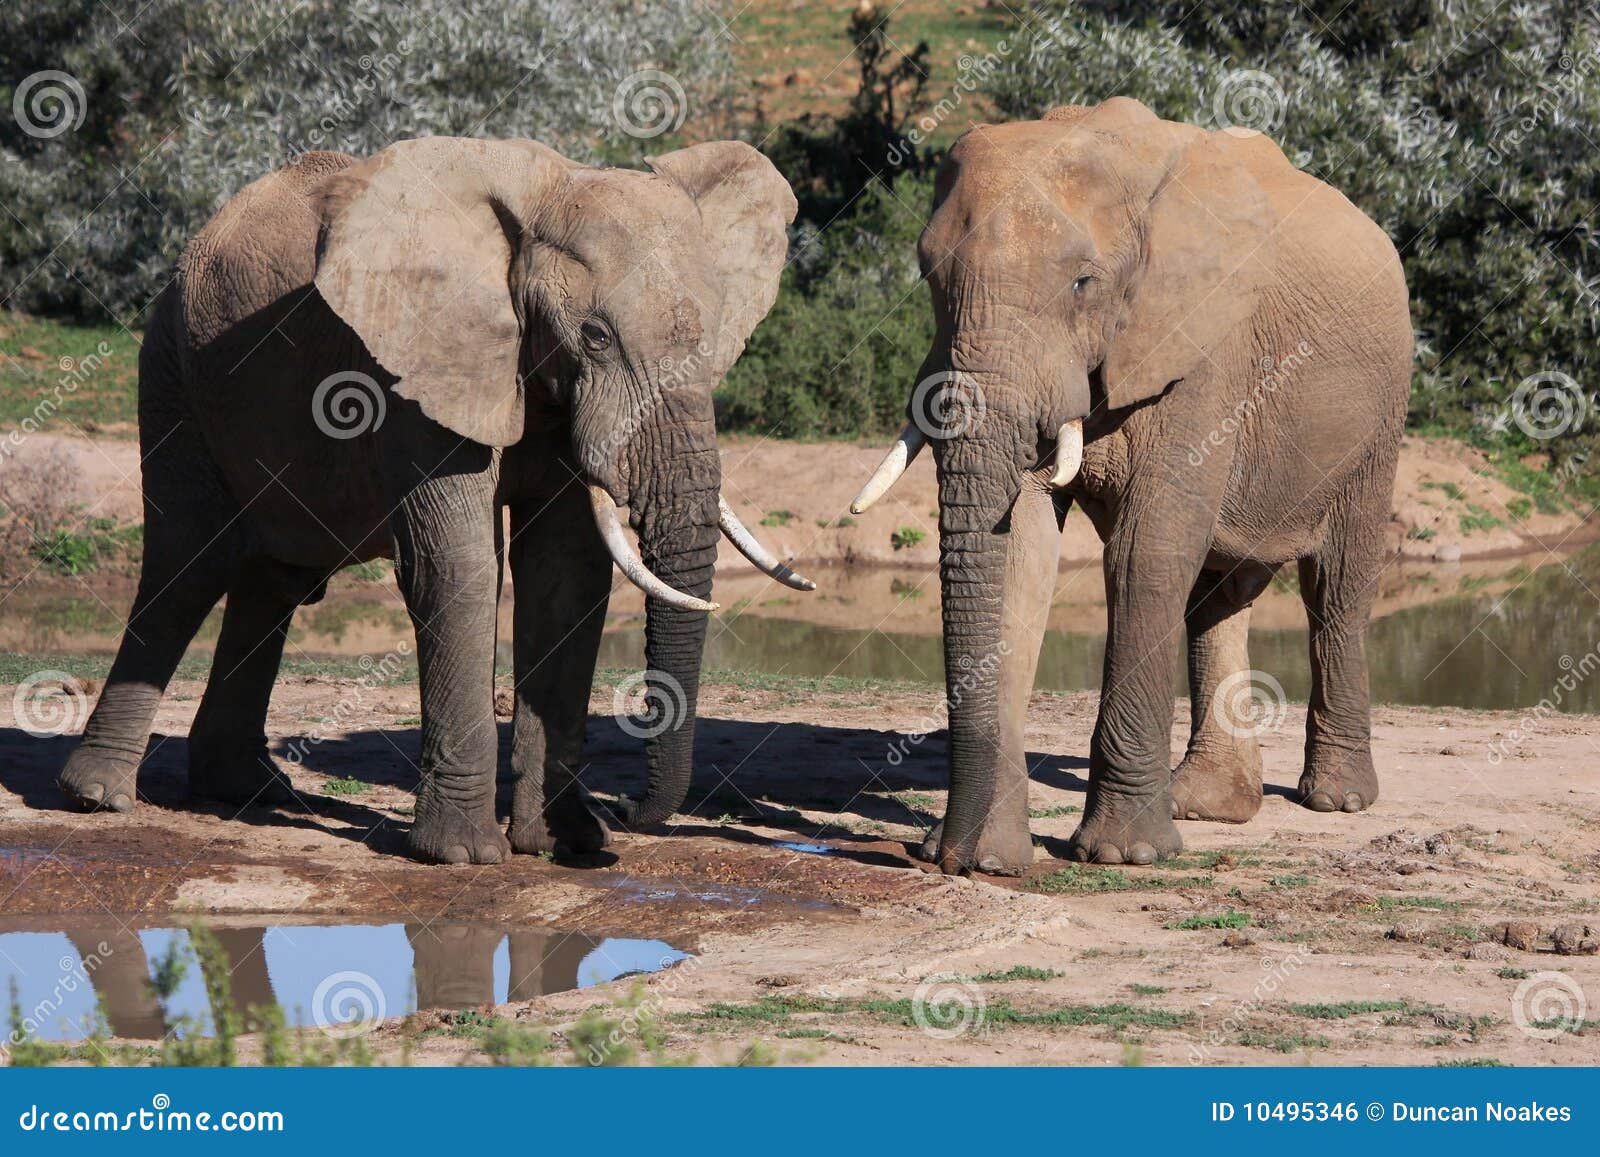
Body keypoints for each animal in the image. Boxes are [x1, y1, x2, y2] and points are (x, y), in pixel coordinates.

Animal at [57, 136, 814, 863]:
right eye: (595, 336)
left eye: (713, 339)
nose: (628, 808)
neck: (548, 197)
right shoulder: (414, 366)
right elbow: (460, 568)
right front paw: (463, 855)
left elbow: (566, 579)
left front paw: (567, 843)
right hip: (173, 374)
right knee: (189, 566)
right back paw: (99, 796)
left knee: (275, 581)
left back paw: (248, 789)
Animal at [851, 98, 1412, 874]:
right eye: (931, 276)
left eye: (1082, 283)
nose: (942, 857)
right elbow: (1022, 555)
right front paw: (997, 860)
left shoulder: (1204, 351)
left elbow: (1146, 554)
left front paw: (1125, 854)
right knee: (1219, 592)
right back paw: (1208, 806)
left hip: (1381, 406)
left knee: (1337, 582)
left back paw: (1337, 799)